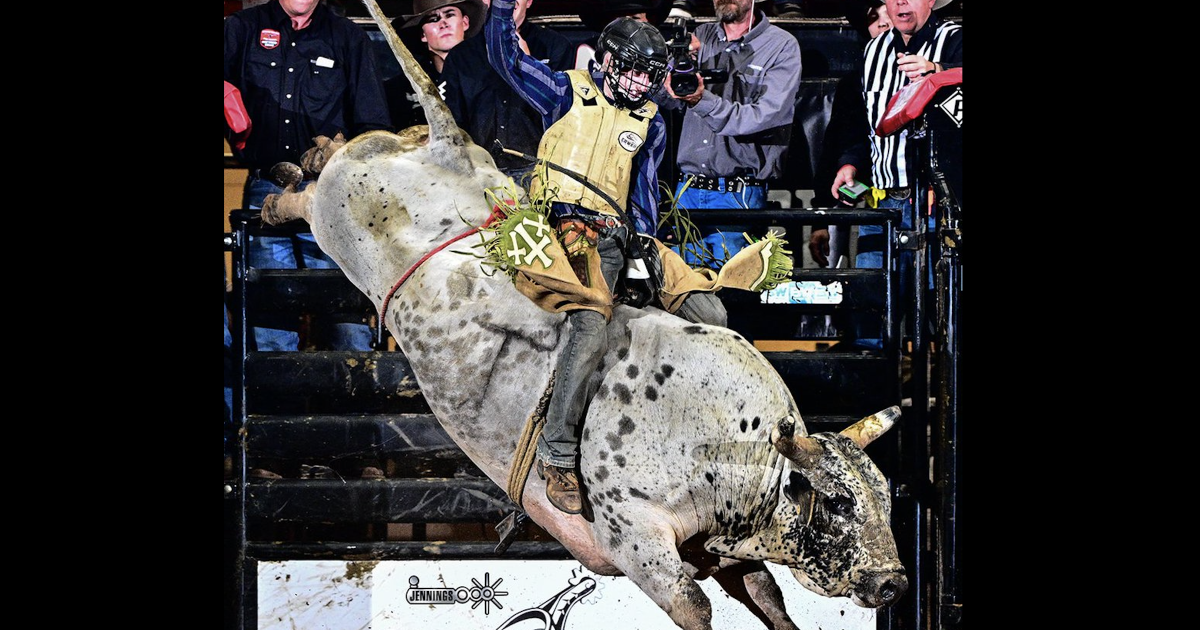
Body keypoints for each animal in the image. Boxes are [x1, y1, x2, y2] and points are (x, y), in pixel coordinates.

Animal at [259, 2, 907, 628]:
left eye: (884, 494)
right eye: (837, 500)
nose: (892, 581)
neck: (735, 445)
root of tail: (449, 146)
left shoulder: (723, 547)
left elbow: (769, 596)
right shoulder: (637, 541)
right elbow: (694, 608)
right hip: (336, 209)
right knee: (312, 192)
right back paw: (282, 189)